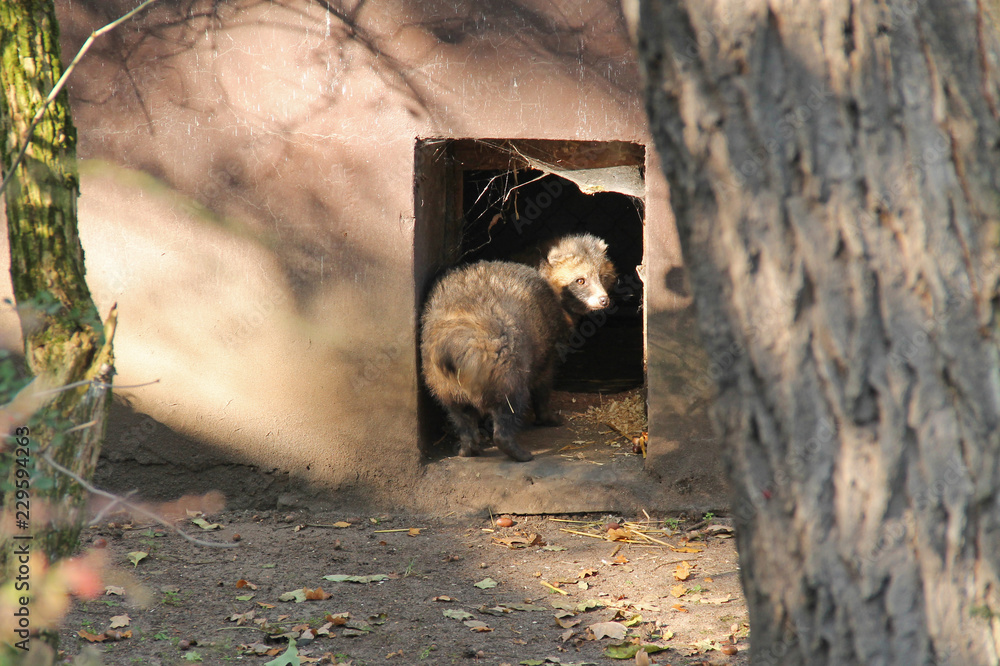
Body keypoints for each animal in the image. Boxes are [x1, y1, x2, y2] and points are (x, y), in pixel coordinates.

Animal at [420, 234, 617, 462]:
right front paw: (547, 415)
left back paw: (468, 444)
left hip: (440, 377)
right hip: (505, 362)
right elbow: (543, 381)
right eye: (580, 280)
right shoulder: (546, 338)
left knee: (459, 413)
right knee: (511, 403)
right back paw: (512, 446)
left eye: (602, 276)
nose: (604, 300)